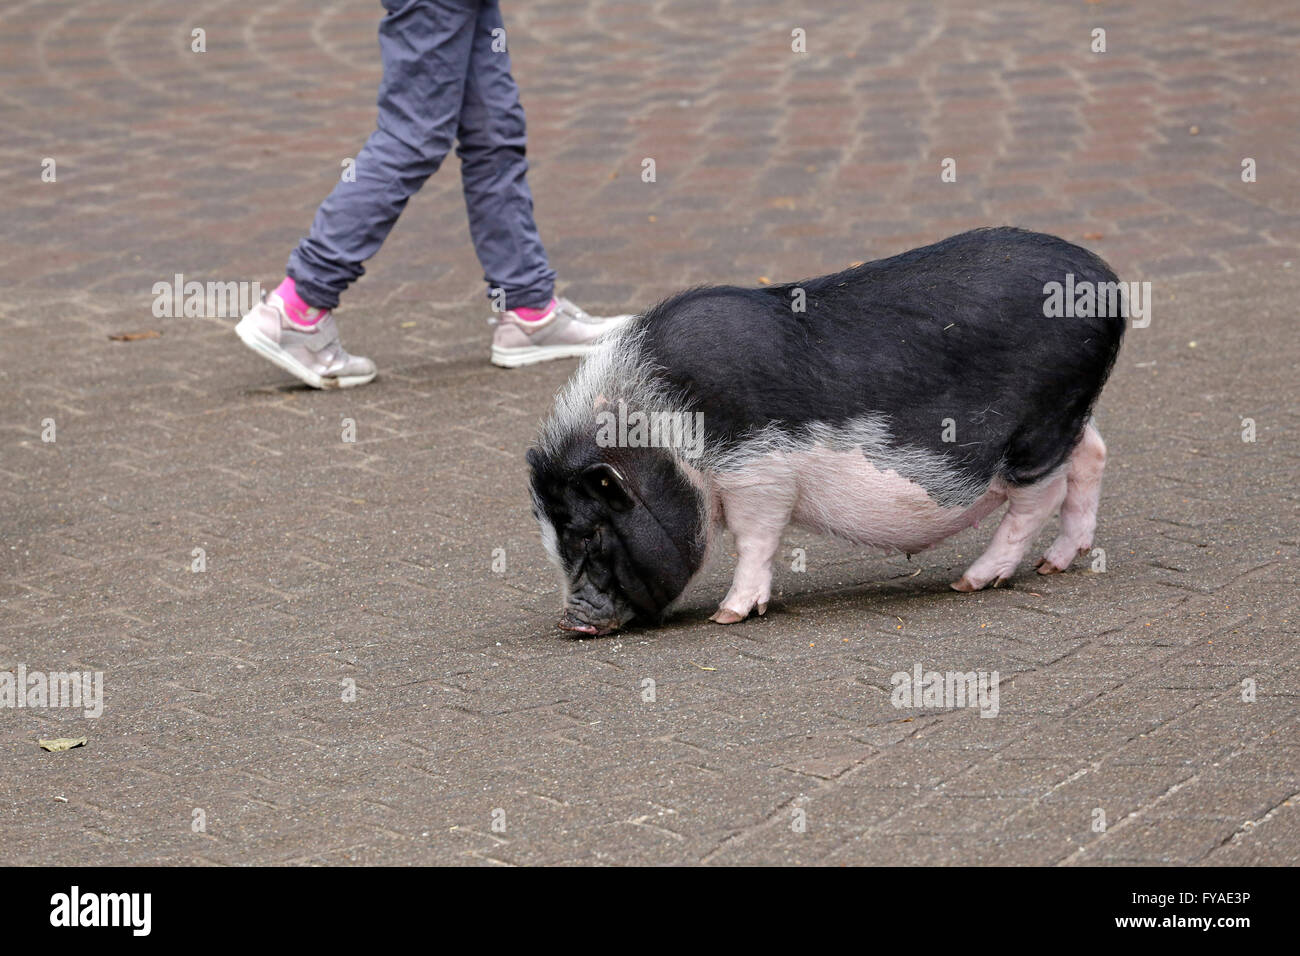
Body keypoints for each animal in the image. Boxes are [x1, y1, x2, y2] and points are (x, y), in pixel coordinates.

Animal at [527, 227, 1124, 635]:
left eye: (588, 532)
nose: (568, 620)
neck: (662, 431)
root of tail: (1108, 281)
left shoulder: (757, 471)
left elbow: (755, 539)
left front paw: (728, 615)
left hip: (1041, 425)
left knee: (1038, 497)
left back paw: (974, 579)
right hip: (1070, 415)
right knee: (1092, 455)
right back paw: (1055, 564)